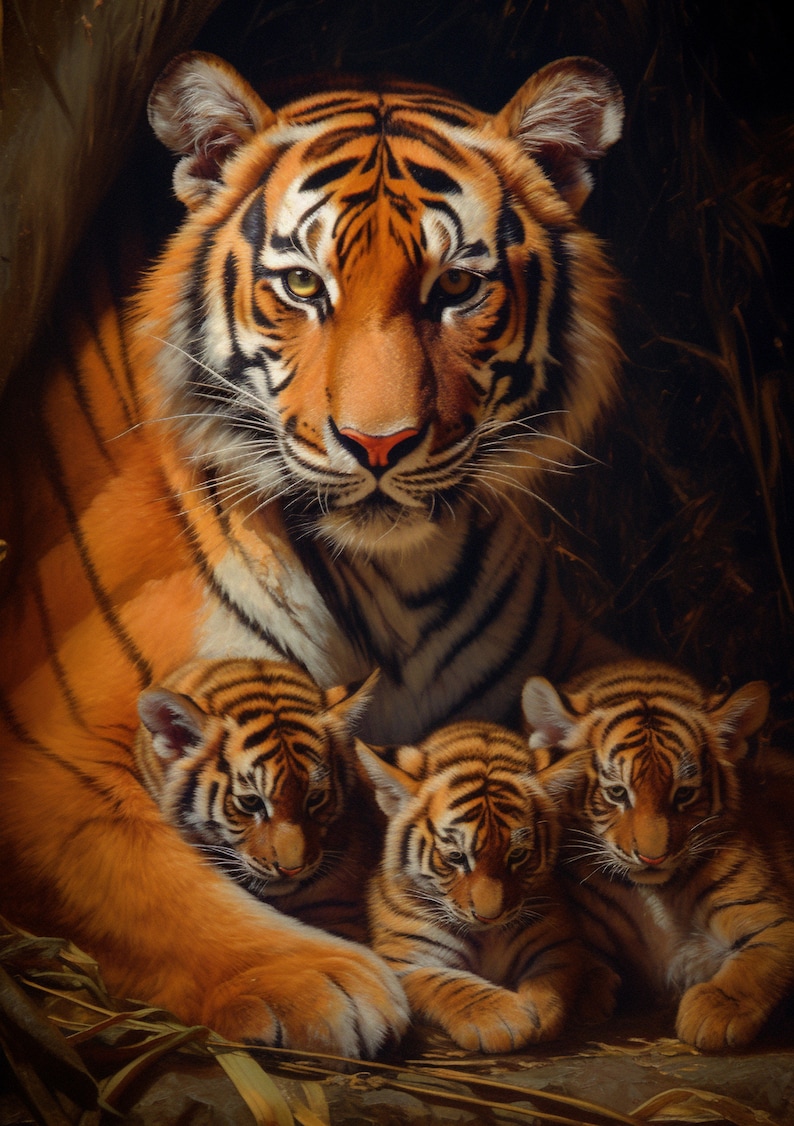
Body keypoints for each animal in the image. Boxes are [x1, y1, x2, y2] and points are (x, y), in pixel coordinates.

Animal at [356, 721, 589, 1053]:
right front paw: (503, 1020)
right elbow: (443, 982)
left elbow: (551, 978)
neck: (486, 935)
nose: (489, 917)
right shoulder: (403, 960)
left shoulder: (558, 944)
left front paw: (539, 1013)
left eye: (517, 855)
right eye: (456, 857)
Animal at [520, 659, 794, 1050]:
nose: (653, 858)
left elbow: (755, 965)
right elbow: (576, 961)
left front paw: (715, 1012)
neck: (654, 893)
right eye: (617, 792)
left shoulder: (771, 920)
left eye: (684, 794)